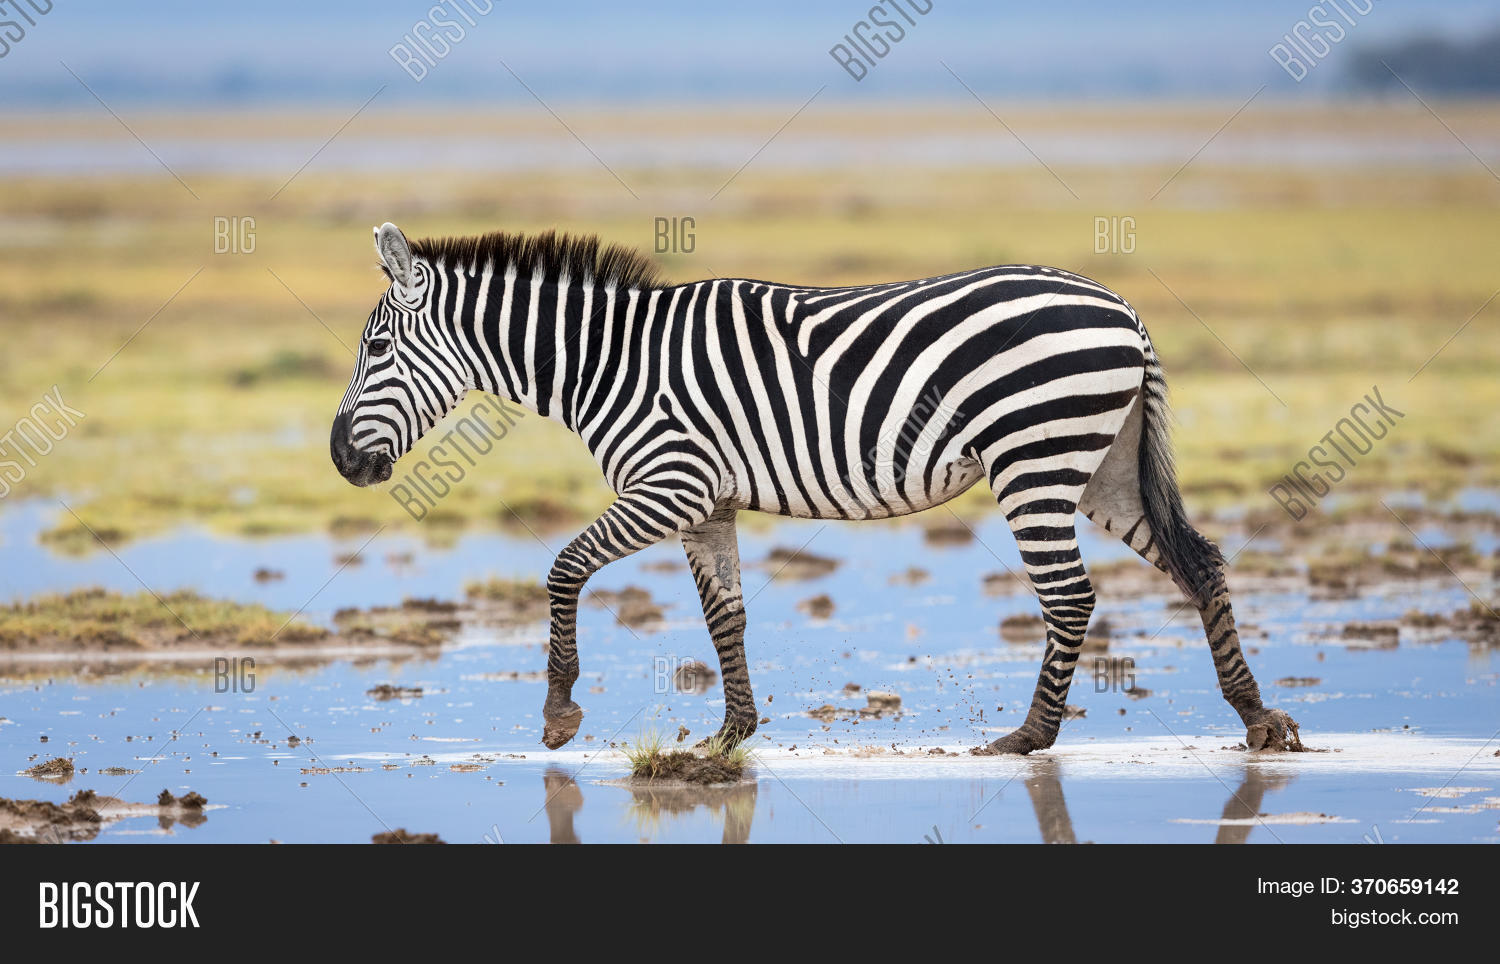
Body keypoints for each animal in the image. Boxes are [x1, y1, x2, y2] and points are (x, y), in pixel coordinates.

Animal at [330, 222, 1303, 755]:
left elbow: (565, 567)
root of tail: (1123, 309)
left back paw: (1030, 738)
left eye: (375, 349)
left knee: (1070, 597)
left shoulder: (669, 482)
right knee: (1201, 562)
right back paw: (1256, 719)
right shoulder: (707, 500)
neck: (610, 364)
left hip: (1035, 458)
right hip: (1103, 466)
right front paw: (731, 735)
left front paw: (561, 711)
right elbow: (724, 614)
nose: (342, 460)